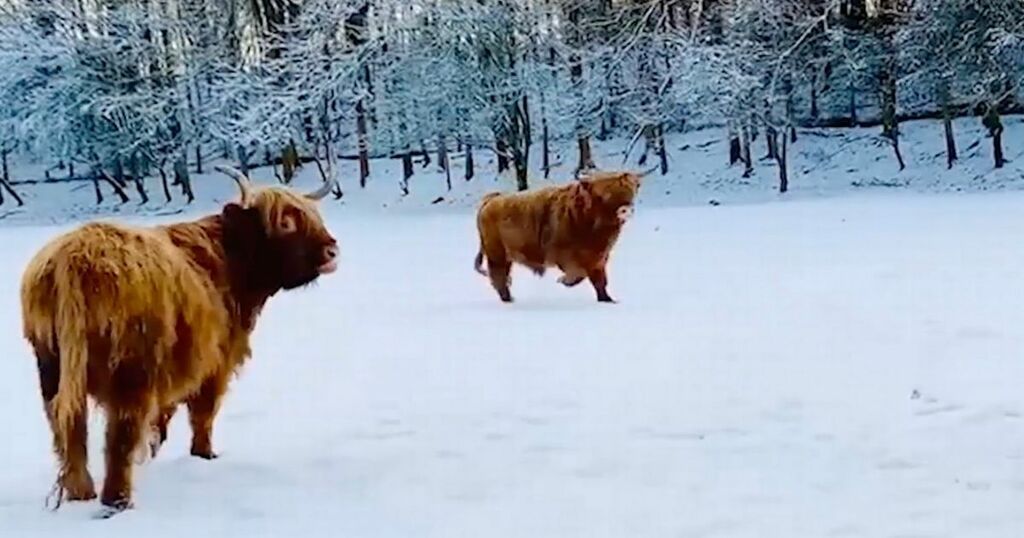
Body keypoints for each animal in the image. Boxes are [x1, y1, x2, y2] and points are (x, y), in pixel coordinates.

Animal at [20, 166, 339, 516]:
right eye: (285, 222)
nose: (332, 251)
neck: (229, 259)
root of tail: (74, 261)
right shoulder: (216, 362)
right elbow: (203, 414)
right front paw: (205, 456)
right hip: (132, 374)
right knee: (120, 434)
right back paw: (117, 501)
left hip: (52, 368)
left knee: (68, 428)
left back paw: (81, 493)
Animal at [473, 170, 642, 303]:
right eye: (605, 195)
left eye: (631, 191)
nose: (625, 209)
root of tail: (491, 198)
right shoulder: (565, 256)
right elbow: (578, 273)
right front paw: (563, 281)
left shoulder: (599, 258)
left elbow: (599, 281)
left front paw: (607, 300)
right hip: (497, 255)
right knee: (499, 277)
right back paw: (509, 299)